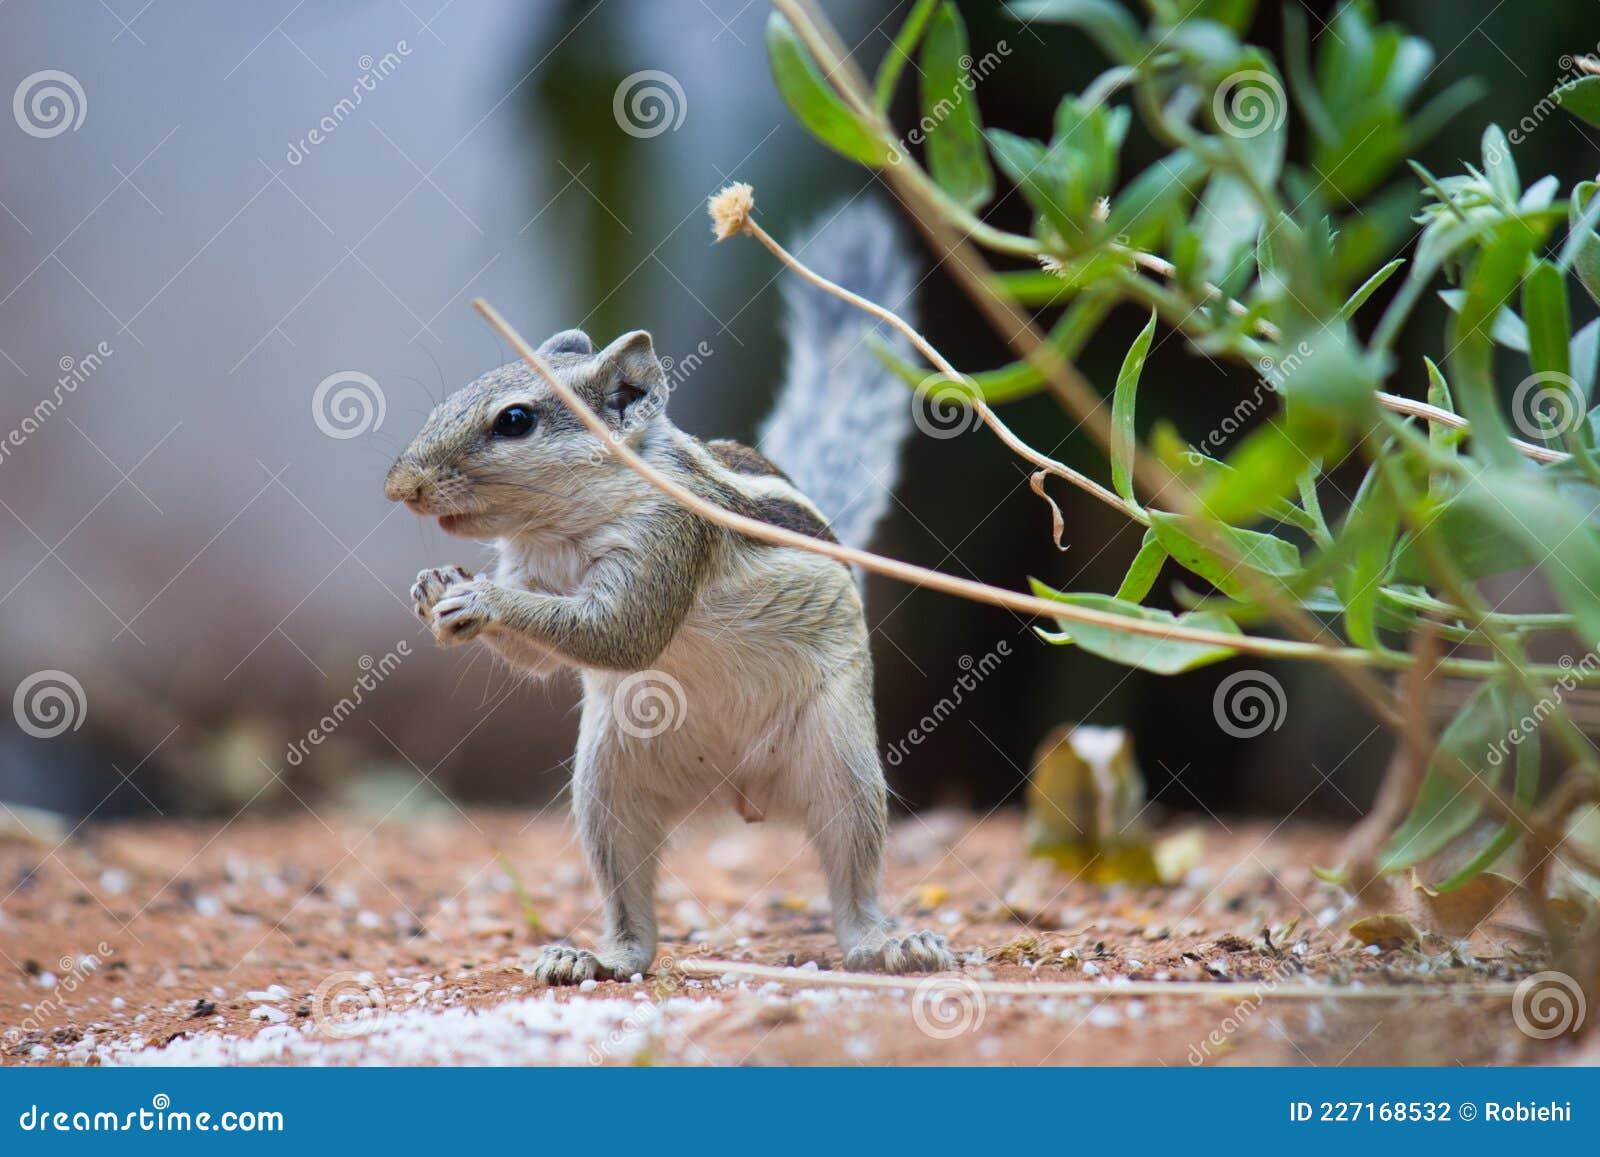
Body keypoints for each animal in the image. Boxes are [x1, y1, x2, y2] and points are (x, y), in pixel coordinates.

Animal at [383, 202, 954, 980]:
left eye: (515, 420)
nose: (400, 486)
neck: (561, 529)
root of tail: (736, 791)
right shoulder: (528, 560)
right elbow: (543, 655)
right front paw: (432, 587)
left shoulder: (669, 537)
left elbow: (622, 632)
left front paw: (482, 601)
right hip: (607, 786)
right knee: (631, 904)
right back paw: (596, 957)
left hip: (843, 764)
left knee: (852, 881)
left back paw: (889, 943)